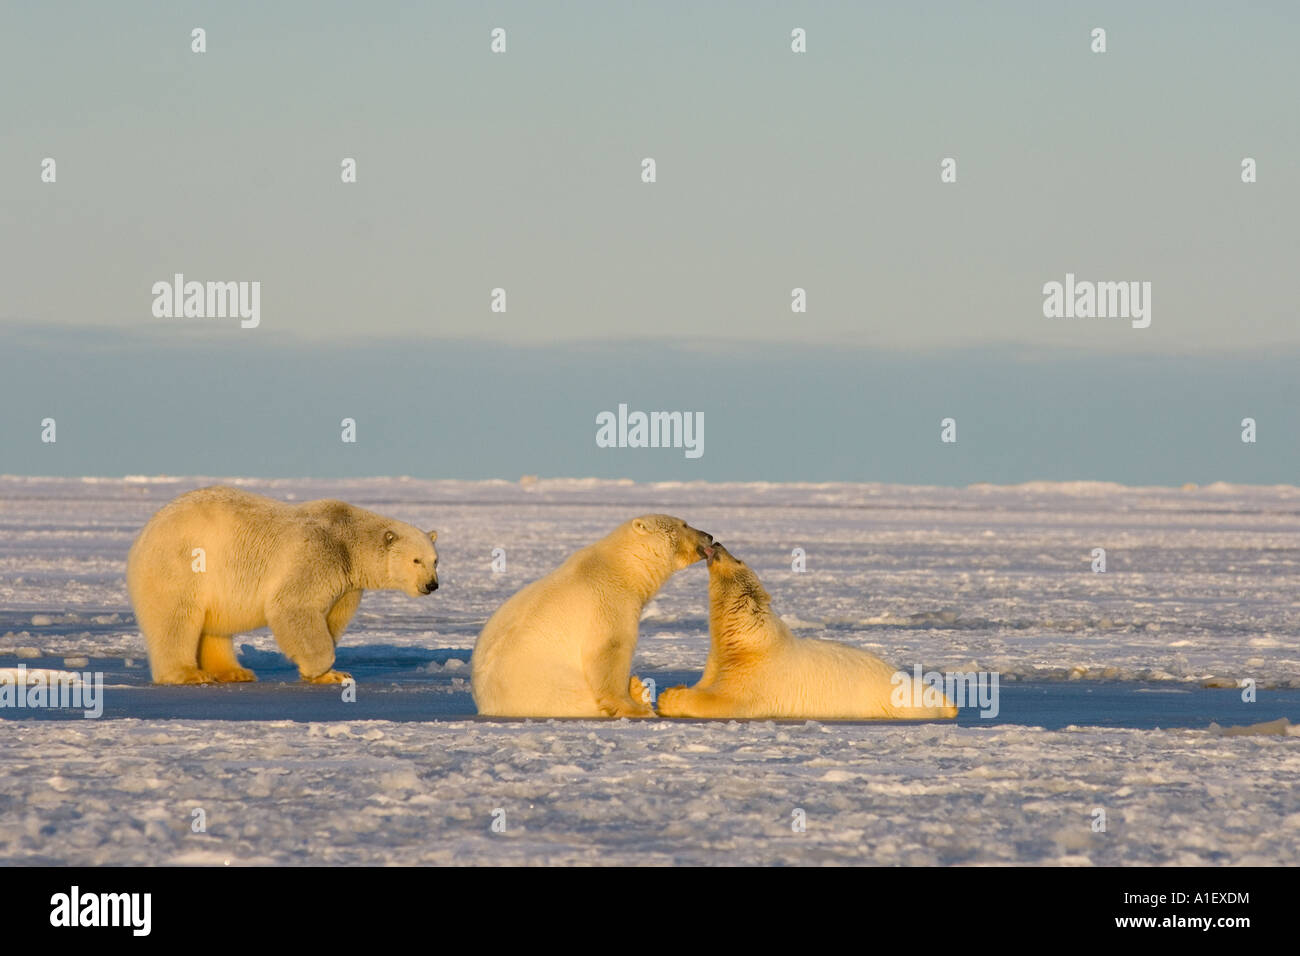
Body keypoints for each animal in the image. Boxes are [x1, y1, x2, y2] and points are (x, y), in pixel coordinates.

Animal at [126, 486, 439, 685]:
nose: (432, 585)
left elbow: (331, 618)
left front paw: (333, 673)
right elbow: (293, 606)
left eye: (435, 560)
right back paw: (188, 674)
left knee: (214, 626)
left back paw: (236, 672)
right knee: (177, 617)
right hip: (182, 562)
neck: (346, 541)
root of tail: (145, 532)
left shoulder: (347, 583)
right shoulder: (316, 554)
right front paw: (324, 671)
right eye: (415, 560)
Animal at [471, 515, 714, 718]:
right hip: (557, 690)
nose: (709, 535)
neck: (622, 567)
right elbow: (611, 650)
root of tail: (487, 705)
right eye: (684, 524)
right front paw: (636, 709)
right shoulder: (608, 603)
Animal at [652, 543, 957, 719]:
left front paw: (670, 697)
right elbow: (707, 683)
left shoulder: (758, 675)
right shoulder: (719, 660)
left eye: (738, 560)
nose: (716, 542)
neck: (750, 639)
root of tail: (943, 701)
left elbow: (725, 700)